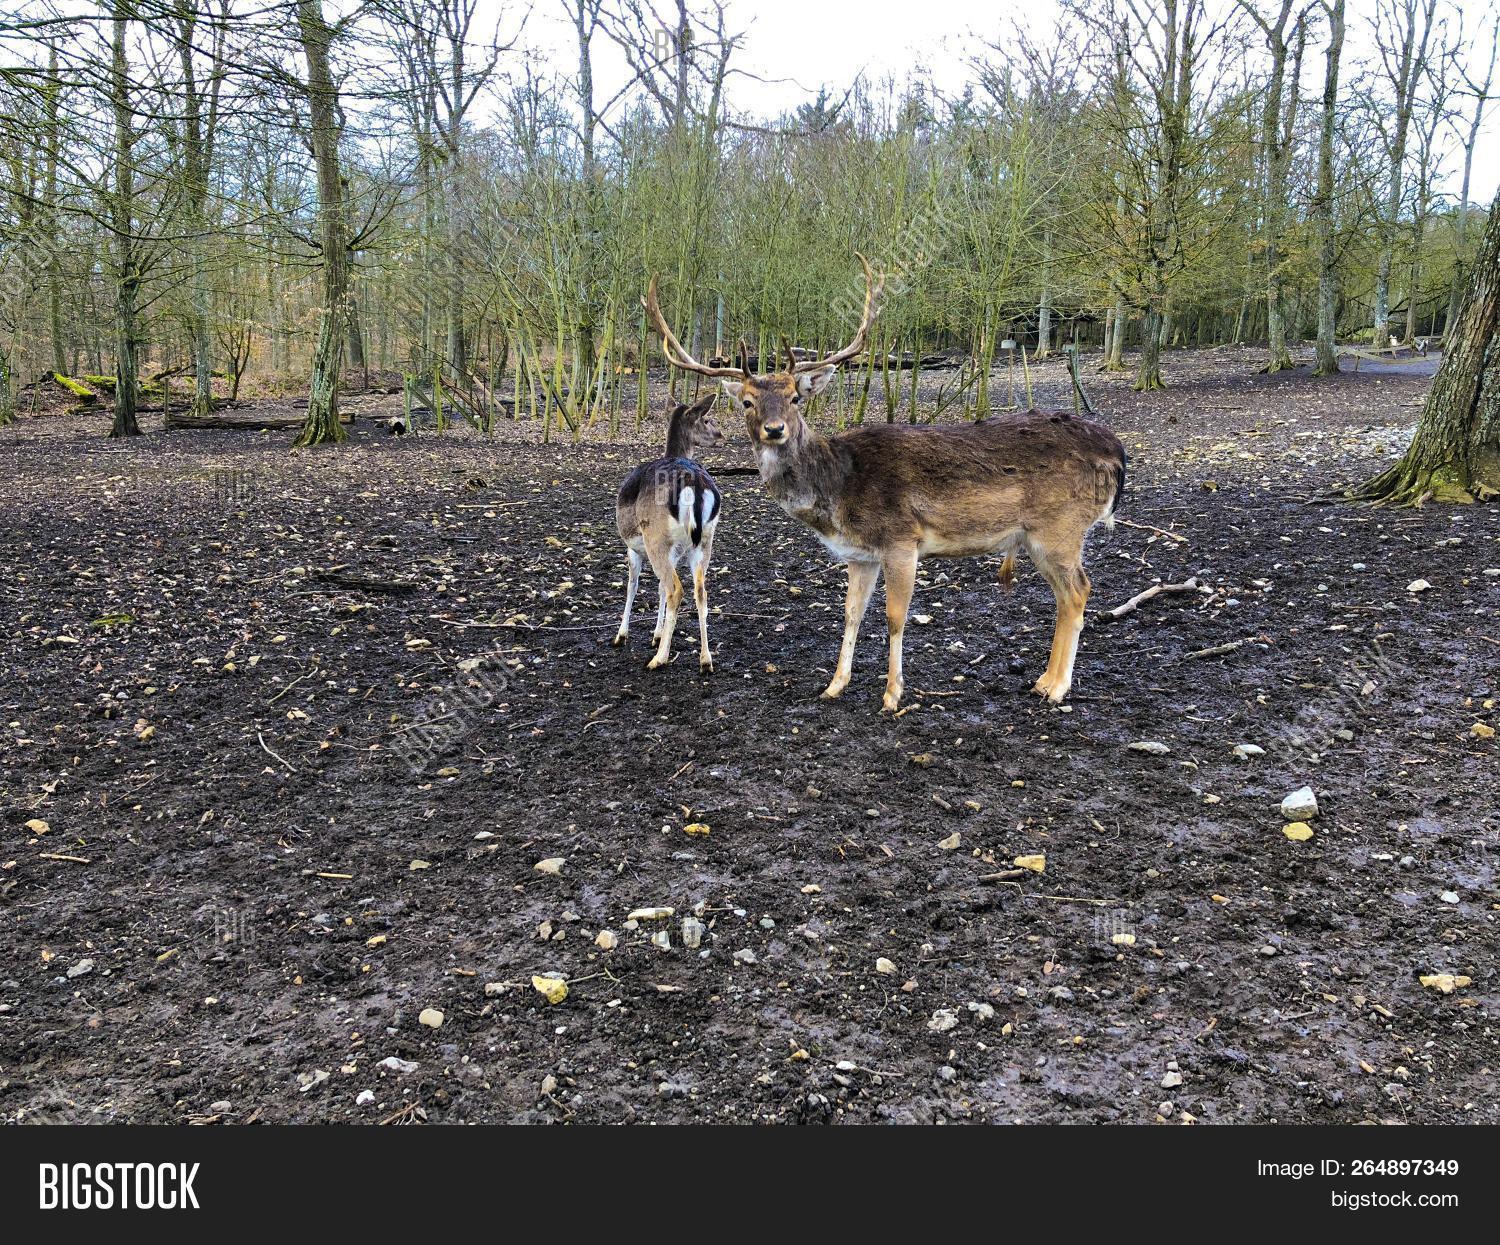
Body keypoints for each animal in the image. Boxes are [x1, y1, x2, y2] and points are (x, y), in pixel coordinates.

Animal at [613, 393, 726, 672]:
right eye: (707, 419)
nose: (721, 435)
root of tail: (692, 483)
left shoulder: (633, 548)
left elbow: (633, 585)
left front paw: (622, 635)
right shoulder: (674, 553)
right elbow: (658, 589)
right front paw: (657, 633)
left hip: (656, 539)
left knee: (676, 590)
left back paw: (659, 658)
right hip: (704, 543)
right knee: (700, 591)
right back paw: (706, 659)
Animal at [642, 258, 1126, 711]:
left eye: (796, 398)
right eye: (747, 401)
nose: (775, 429)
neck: (840, 494)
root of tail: (1117, 452)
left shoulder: (901, 540)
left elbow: (895, 618)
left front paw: (892, 695)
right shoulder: (861, 555)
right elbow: (851, 615)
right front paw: (834, 685)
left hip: (1059, 528)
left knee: (1079, 591)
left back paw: (1058, 688)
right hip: (1037, 537)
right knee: (1066, 596)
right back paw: (1044, 682)